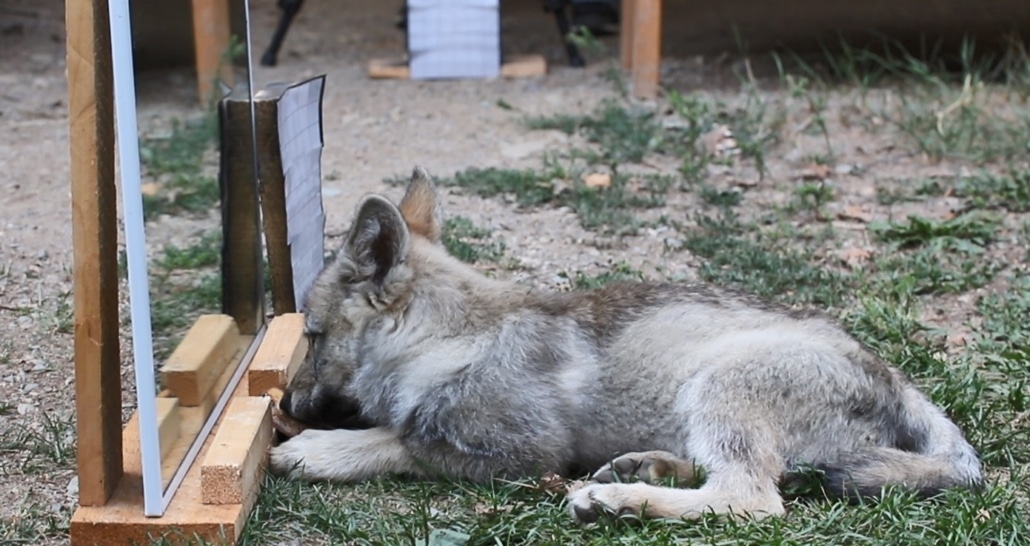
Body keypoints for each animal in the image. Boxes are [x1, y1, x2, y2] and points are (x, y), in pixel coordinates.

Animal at [269, 167, 982, 523]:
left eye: (313, 336)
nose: (285, 407)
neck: (452, 337)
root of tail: (896, 379)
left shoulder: (518, 453)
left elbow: (398, 439)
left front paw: (321, 449)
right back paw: (643, 469)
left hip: (719, 385)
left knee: (750, 499)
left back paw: (620, 500)